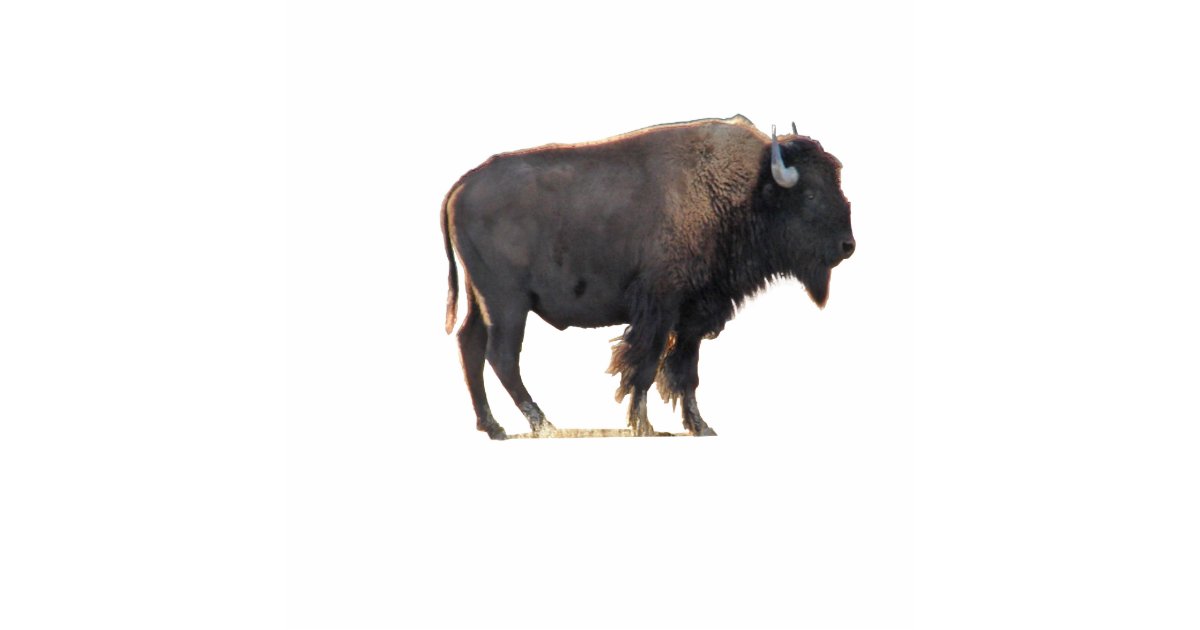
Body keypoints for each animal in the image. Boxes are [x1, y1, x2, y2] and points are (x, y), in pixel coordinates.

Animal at [441, 115, 854, 439]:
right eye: (811, 195)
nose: (848, 246)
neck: (745, 189)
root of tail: (461, 186)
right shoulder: (659, 307)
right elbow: (644, 365)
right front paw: (644, 426)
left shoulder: (694, 315)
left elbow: (685, 372)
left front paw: (701, 426)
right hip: (508, 302)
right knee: (502, 356)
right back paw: (544, 425)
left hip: (483, 299)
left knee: (470, 345)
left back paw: (494, 427)